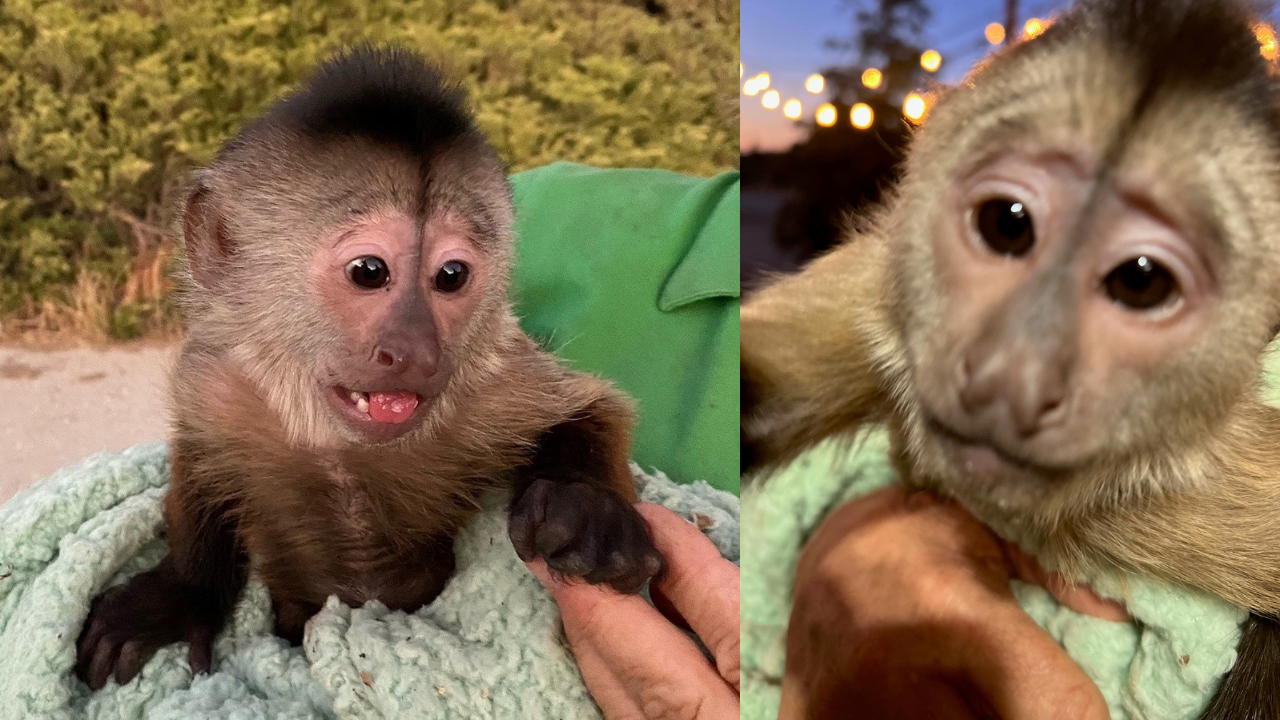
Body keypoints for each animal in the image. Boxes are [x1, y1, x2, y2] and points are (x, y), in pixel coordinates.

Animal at [73, 47, 665, 691]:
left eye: (451, 276)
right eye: (368, 271)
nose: (416, 351)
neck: (340, 446)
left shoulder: (491, 381)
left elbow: (588, 407)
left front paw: (585, 504)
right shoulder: (219, 384)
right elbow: (202, 462)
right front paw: (179, 595)